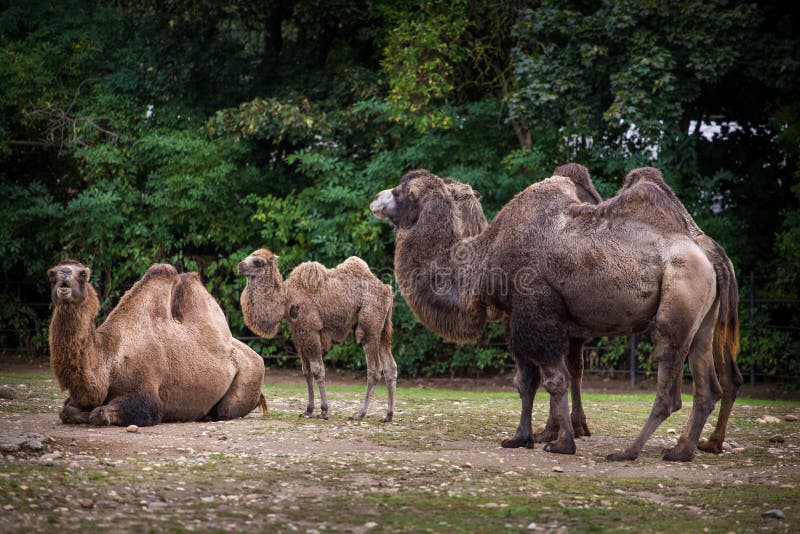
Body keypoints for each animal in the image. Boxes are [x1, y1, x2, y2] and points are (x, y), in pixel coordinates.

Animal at [48, 260, 267, 427]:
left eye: (83, 274)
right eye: (52, 274)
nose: (64, 274)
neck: (110, 359)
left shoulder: (147, 390)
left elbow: (102, 414)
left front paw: (95, 413)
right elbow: (66, 410)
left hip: (251, 375)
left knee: (226, 411)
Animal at [238, 249, 397, 421]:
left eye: (258, 262)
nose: (240, 266)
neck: (285, 300)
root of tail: (387, 289)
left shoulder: (311, 330)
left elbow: (317, 370)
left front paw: (324, 411)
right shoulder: (299, 334)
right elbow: (306, 371)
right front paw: (308, 410)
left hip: (370, 323)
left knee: (374, 368)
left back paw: (360, 414)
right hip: (383, 329)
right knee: (390, 367)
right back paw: (388, 415)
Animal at [371, 169, 739, 461]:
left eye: (401, 191)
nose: (375, 198)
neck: (484, 257)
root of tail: (710, 254)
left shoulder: (536, 314)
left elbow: (555, 381)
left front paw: (562, 443)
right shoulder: (517, 318)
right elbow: (525, 382)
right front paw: (520, 438)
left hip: (679, 302)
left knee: (670, 382)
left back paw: (629, 451)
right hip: (702, 318)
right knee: (707, 384)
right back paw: (682, 450)